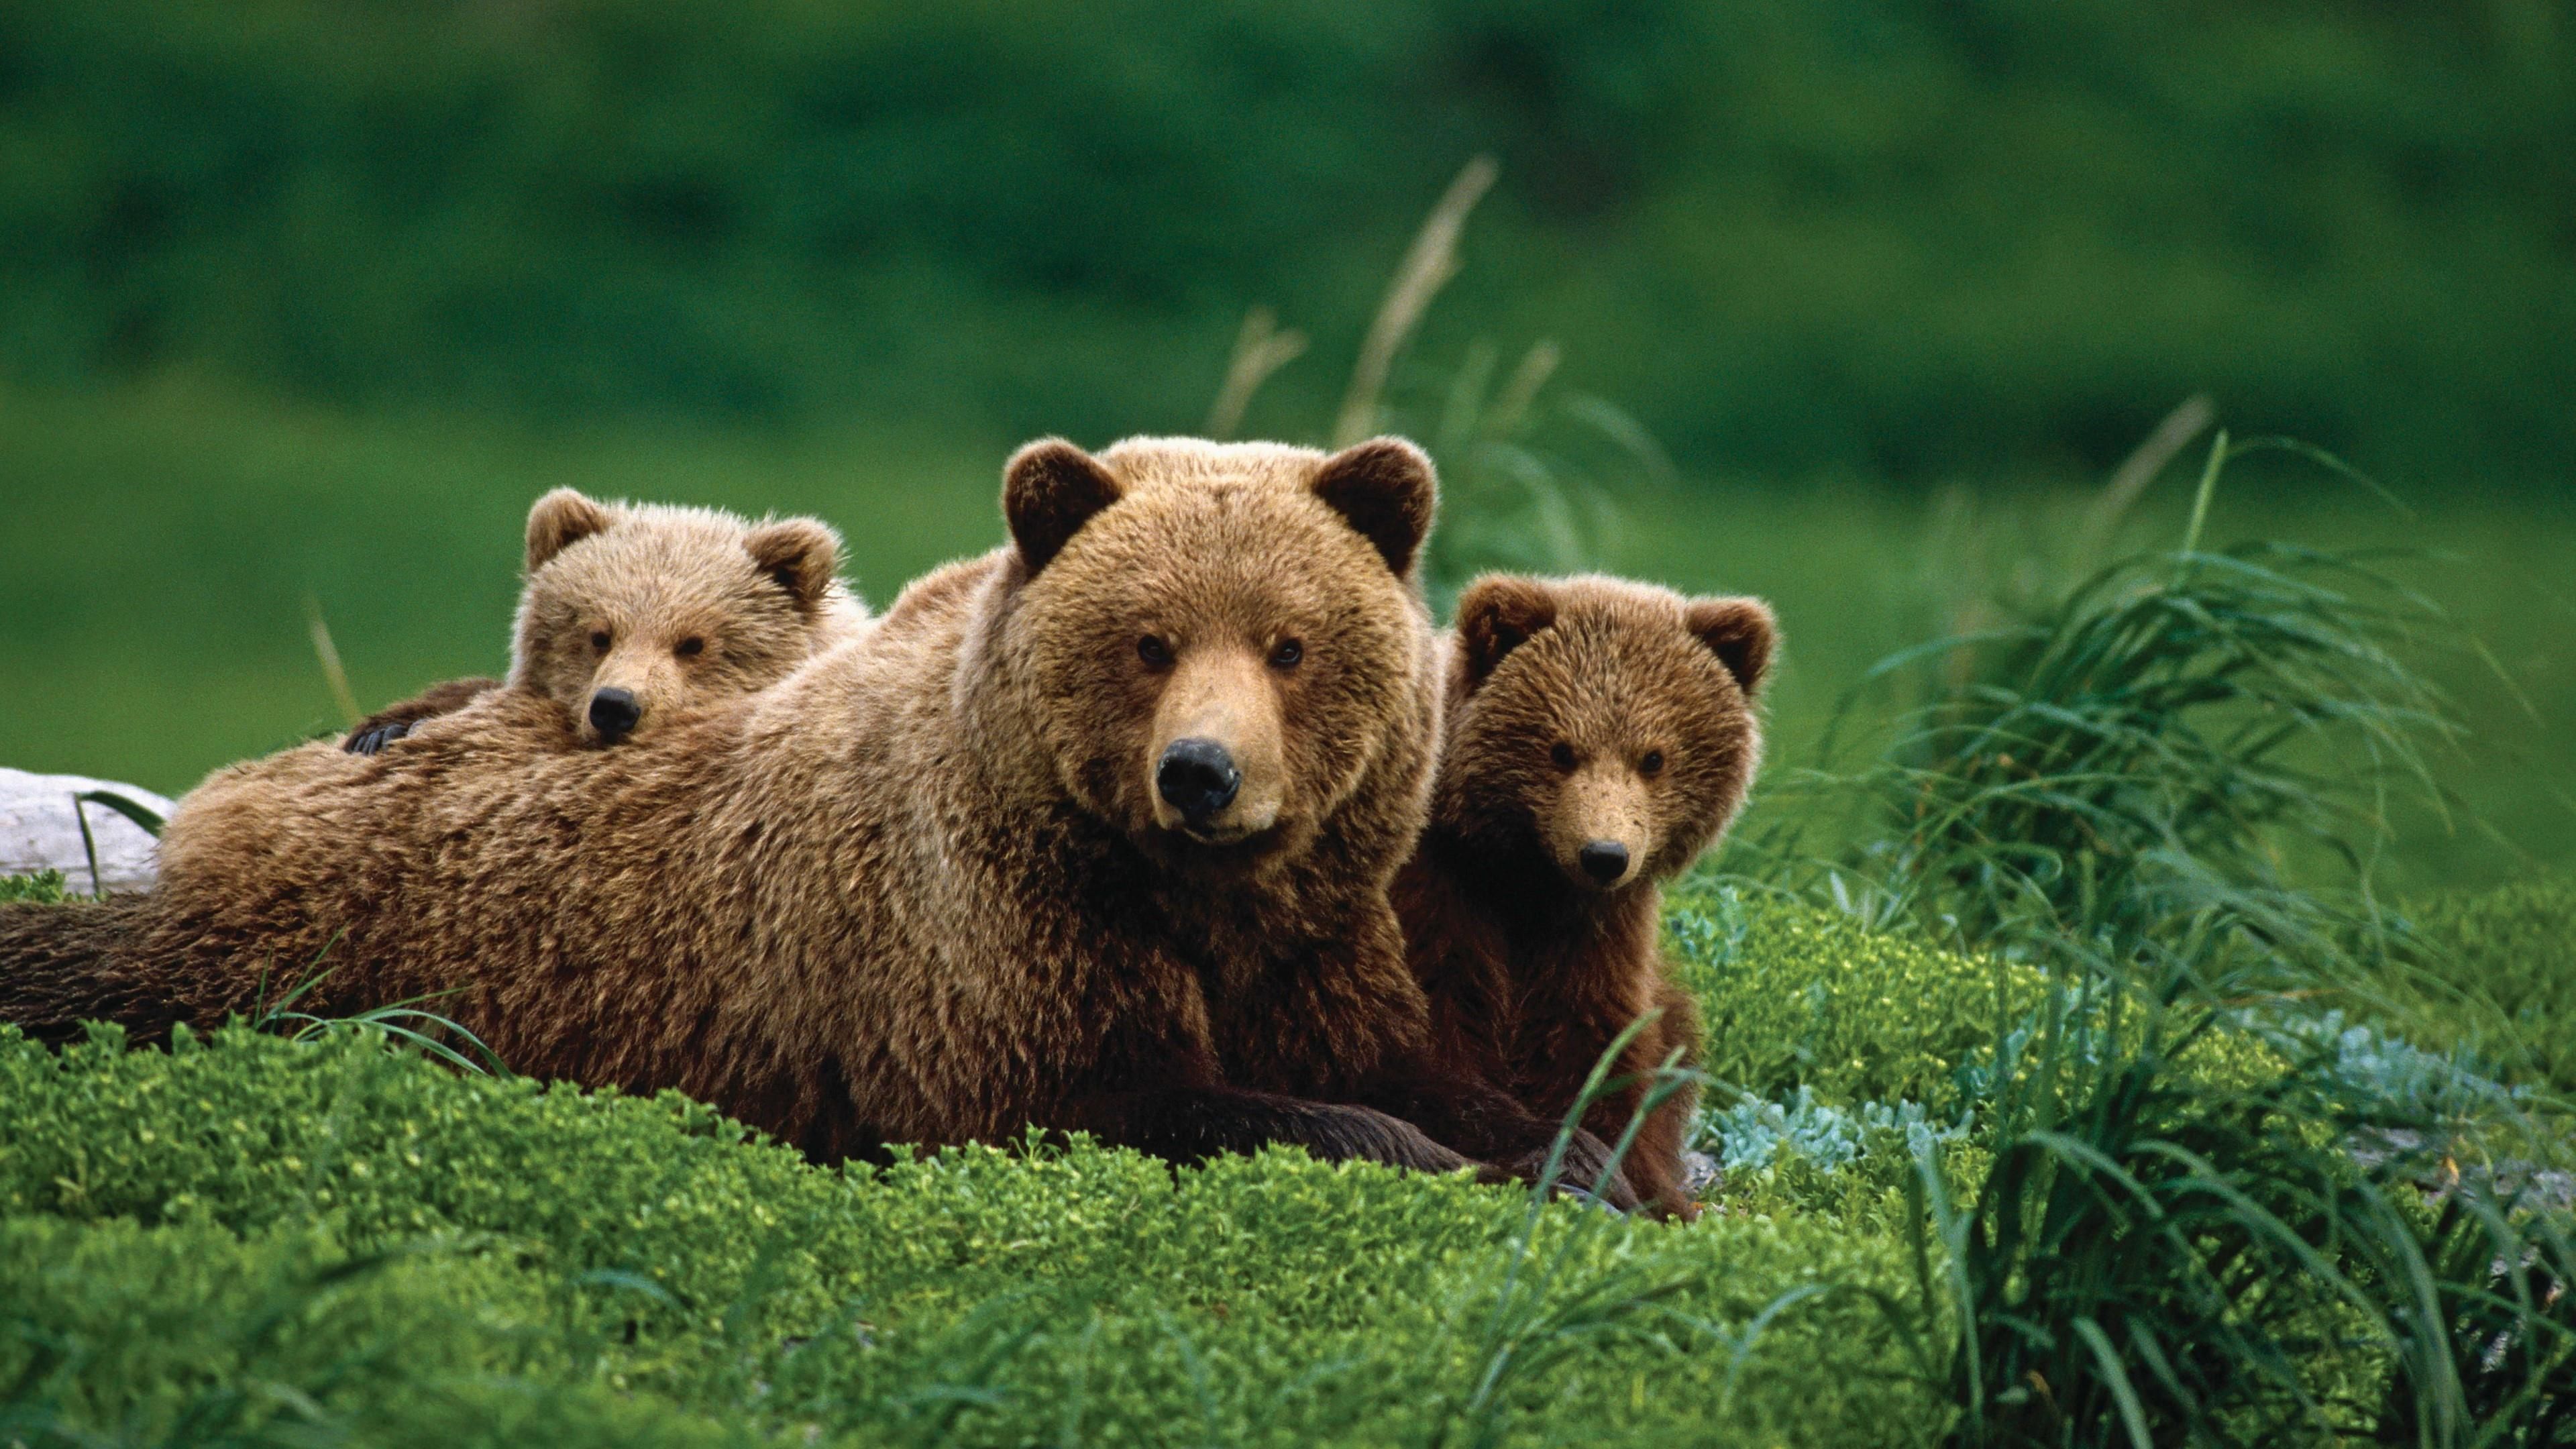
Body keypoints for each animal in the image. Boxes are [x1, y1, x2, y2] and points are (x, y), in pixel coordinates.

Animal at [1393, 573, 1776, 1218]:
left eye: (1654, 757)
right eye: (1560, 750)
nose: (1604, 854)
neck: (1526, 880)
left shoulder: (1599, 931)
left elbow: (1591, 1044)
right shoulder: (1439, 894)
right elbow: (1443, 1033)